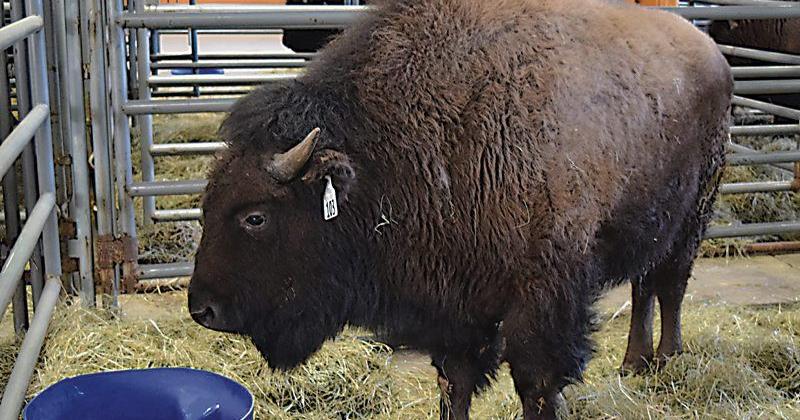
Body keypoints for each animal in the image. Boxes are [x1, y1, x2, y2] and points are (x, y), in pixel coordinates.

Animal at [189, 0, 732, 418]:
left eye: (254, 217)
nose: (202, 309)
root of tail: (712, 54)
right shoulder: (455, 303)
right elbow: (455, 382)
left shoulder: (543, 299)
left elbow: (535, 384)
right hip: (655, 225)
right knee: (645, 286)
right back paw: (634, 363)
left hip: (694, 215)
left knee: (671, 286)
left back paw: (667, 360)